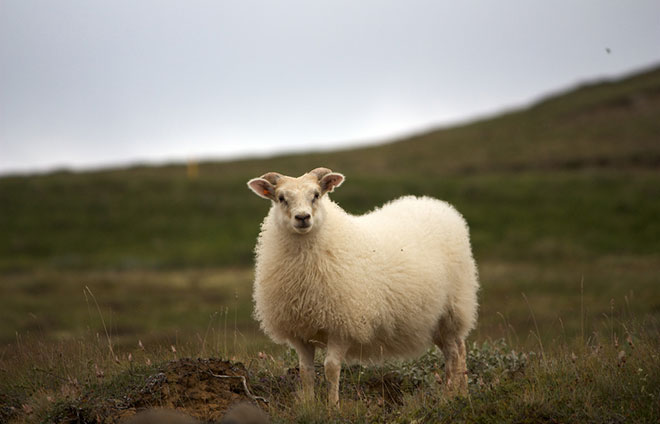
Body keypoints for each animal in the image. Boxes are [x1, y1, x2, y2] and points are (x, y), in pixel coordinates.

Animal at [247, 167, 479, 404]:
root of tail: (439, 206)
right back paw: (460, 394)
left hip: (453, 309)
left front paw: (333, 406)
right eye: (281, 198)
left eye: (316, 195)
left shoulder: (341, 324)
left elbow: (331, 368)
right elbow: (306, 371)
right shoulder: (300, 331)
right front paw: (309, 404)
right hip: (435, 321)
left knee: (455, 353)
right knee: (456, 350)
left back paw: (451, 396)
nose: (302, 217)